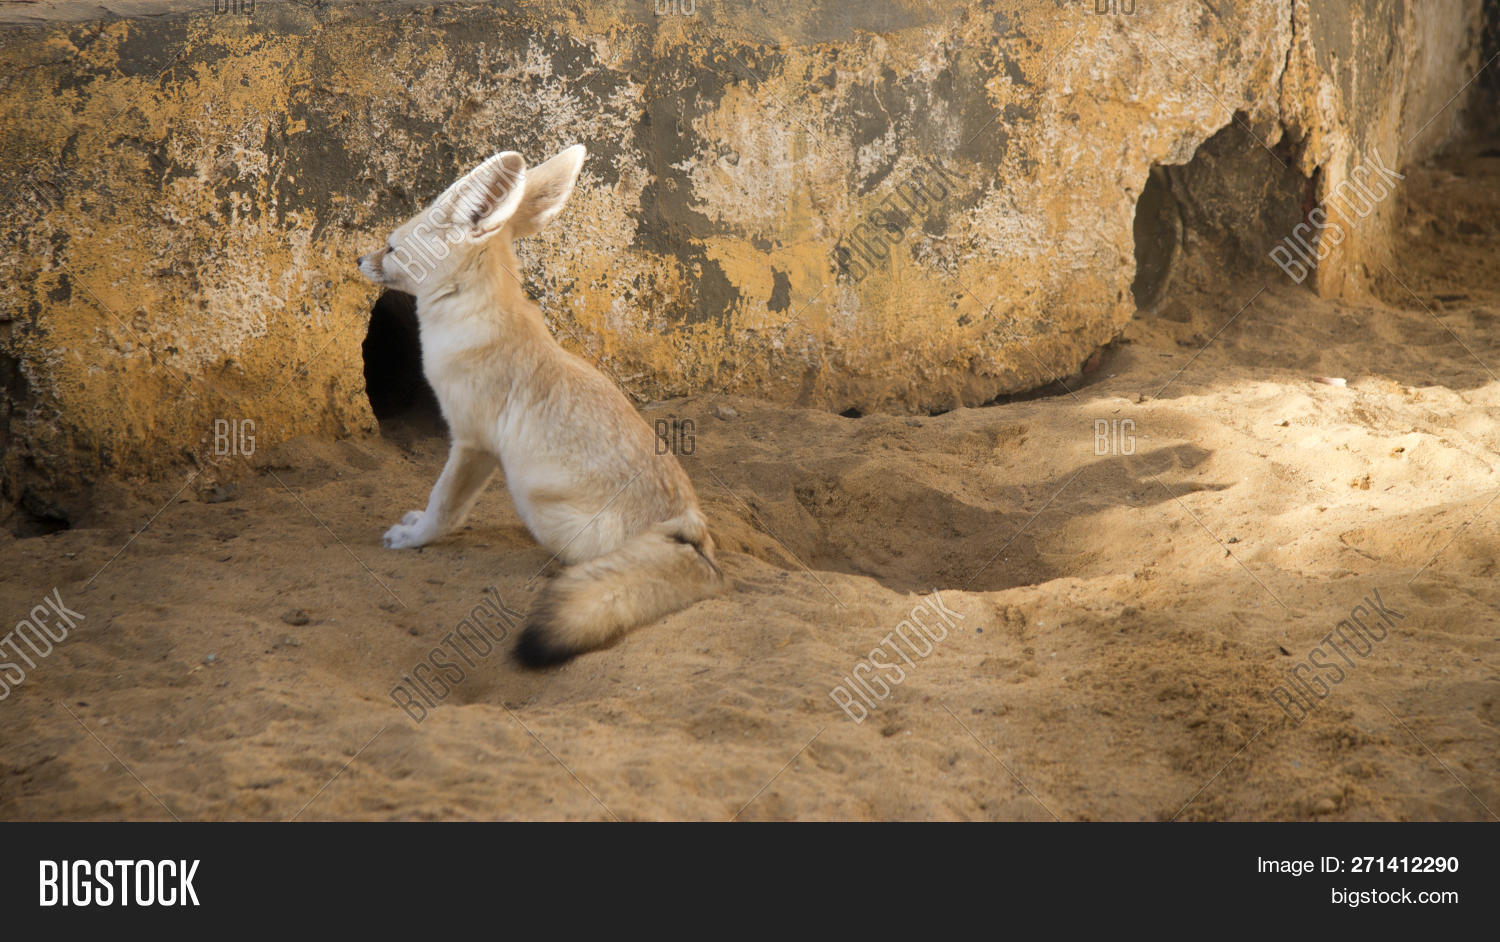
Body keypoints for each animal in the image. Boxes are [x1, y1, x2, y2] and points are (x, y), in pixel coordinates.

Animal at [356, 144, 725, 667]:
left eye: (390, 247)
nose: (358, 259)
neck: (473, 317)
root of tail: (692, 534)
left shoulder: (472, 443)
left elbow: (444, 504)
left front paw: (415, 537)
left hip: (535, 501)